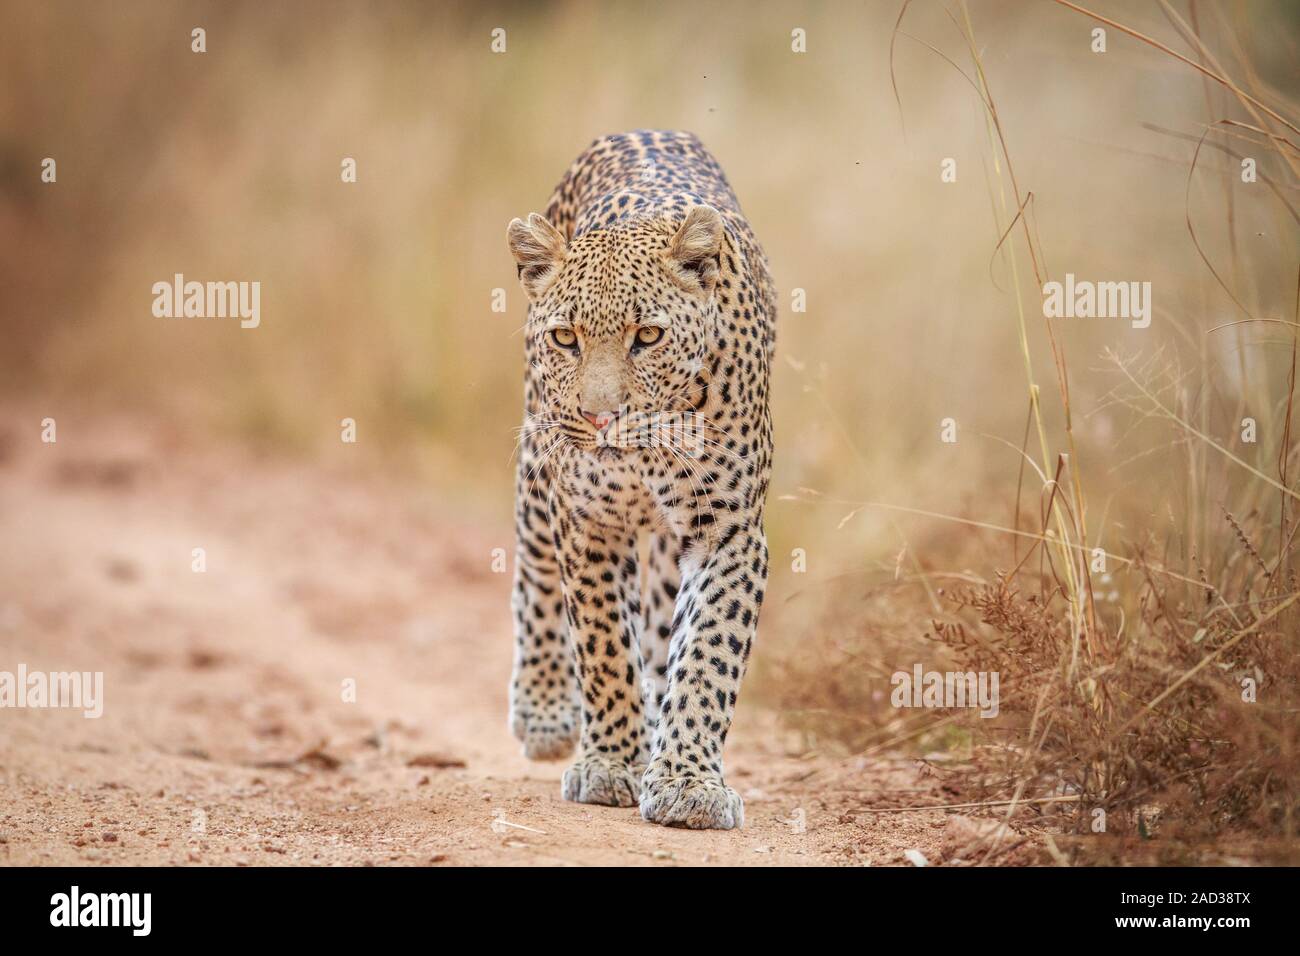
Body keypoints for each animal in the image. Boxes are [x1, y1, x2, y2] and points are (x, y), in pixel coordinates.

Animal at [505, 129, 775, 830]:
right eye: (566, 337)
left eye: (648, 335)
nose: (600, 417)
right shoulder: (589, 521)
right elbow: (603, 648)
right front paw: (609, 764)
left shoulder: (729, 532)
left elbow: (707, 654)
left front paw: (687, 781)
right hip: (537, 462)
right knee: (536, 571)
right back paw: (545, 710)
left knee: (659, 633)